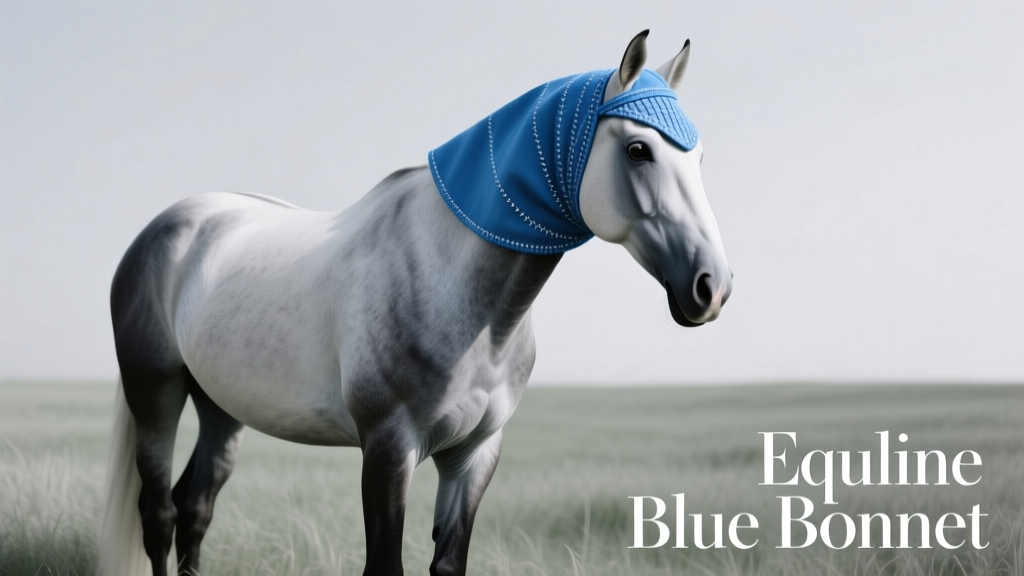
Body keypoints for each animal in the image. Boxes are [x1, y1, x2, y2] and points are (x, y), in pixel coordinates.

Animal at [99, 30, 732, 576]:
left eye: (698, 159)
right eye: (639, 149)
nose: (713, 287)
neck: (461, 295)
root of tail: (171, 222)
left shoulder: (475, 453)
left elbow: (448, 561)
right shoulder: (388, 450)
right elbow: (385, 565)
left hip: (221, 405)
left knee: (195, 505)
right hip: (156, 391)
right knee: (159, 512)